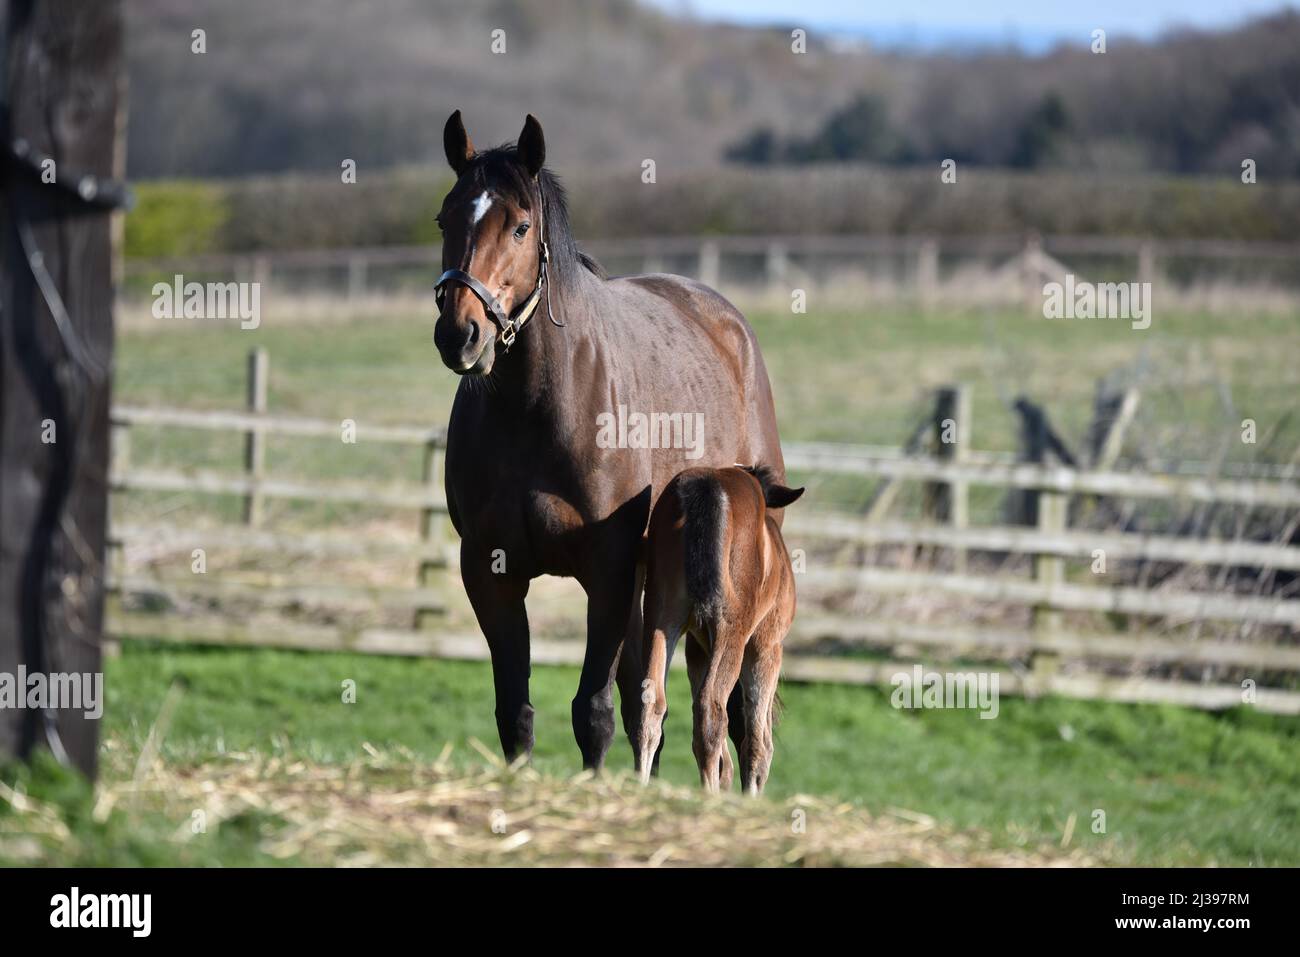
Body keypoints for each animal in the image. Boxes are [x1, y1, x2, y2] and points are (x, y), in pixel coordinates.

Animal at [432, 110, 787, 772]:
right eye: (446, 218)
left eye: (520, 226)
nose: (459, 334)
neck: (536, 410)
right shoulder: (490, 570)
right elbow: (515, 712)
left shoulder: (610, 569)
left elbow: (592, 713)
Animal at [636, 465, 803, 794]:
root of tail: (708, 487)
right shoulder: (766, 648)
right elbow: (759, 741)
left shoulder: (696, 650)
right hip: (732, 629)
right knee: (711, 709)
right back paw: (709, 795)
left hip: (661, 616)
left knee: (651, 703)